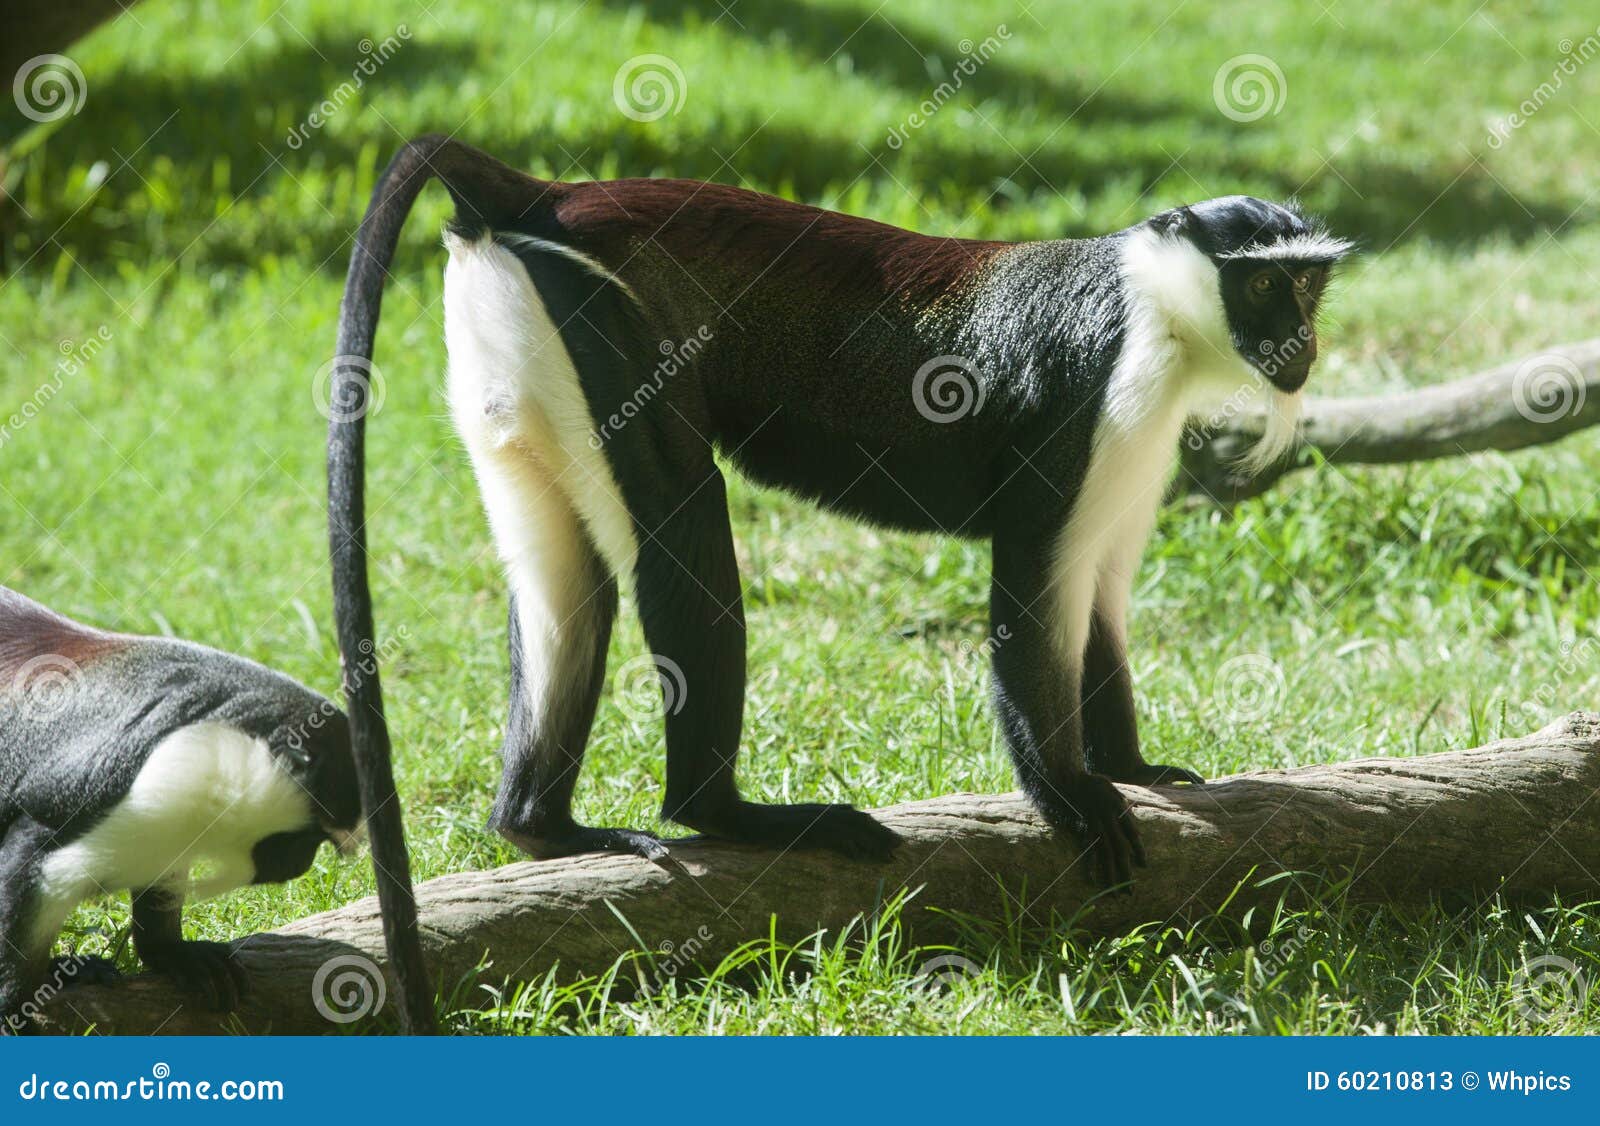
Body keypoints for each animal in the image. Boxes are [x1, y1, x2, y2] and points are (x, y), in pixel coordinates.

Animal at [328, 137, 1349, 1026]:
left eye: (1308, 283)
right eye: (1265, 282)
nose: (1299, 337)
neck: (1157, 306)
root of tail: (541, 194)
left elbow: (1098, 597)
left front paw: (1131, 767)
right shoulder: (1096, 392)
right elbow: (1036, 585)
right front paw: (1069, 794)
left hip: (524, 356)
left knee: (566, 574)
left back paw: (540, 826)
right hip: (605, 323)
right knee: (683, 515)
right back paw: (724, 813)